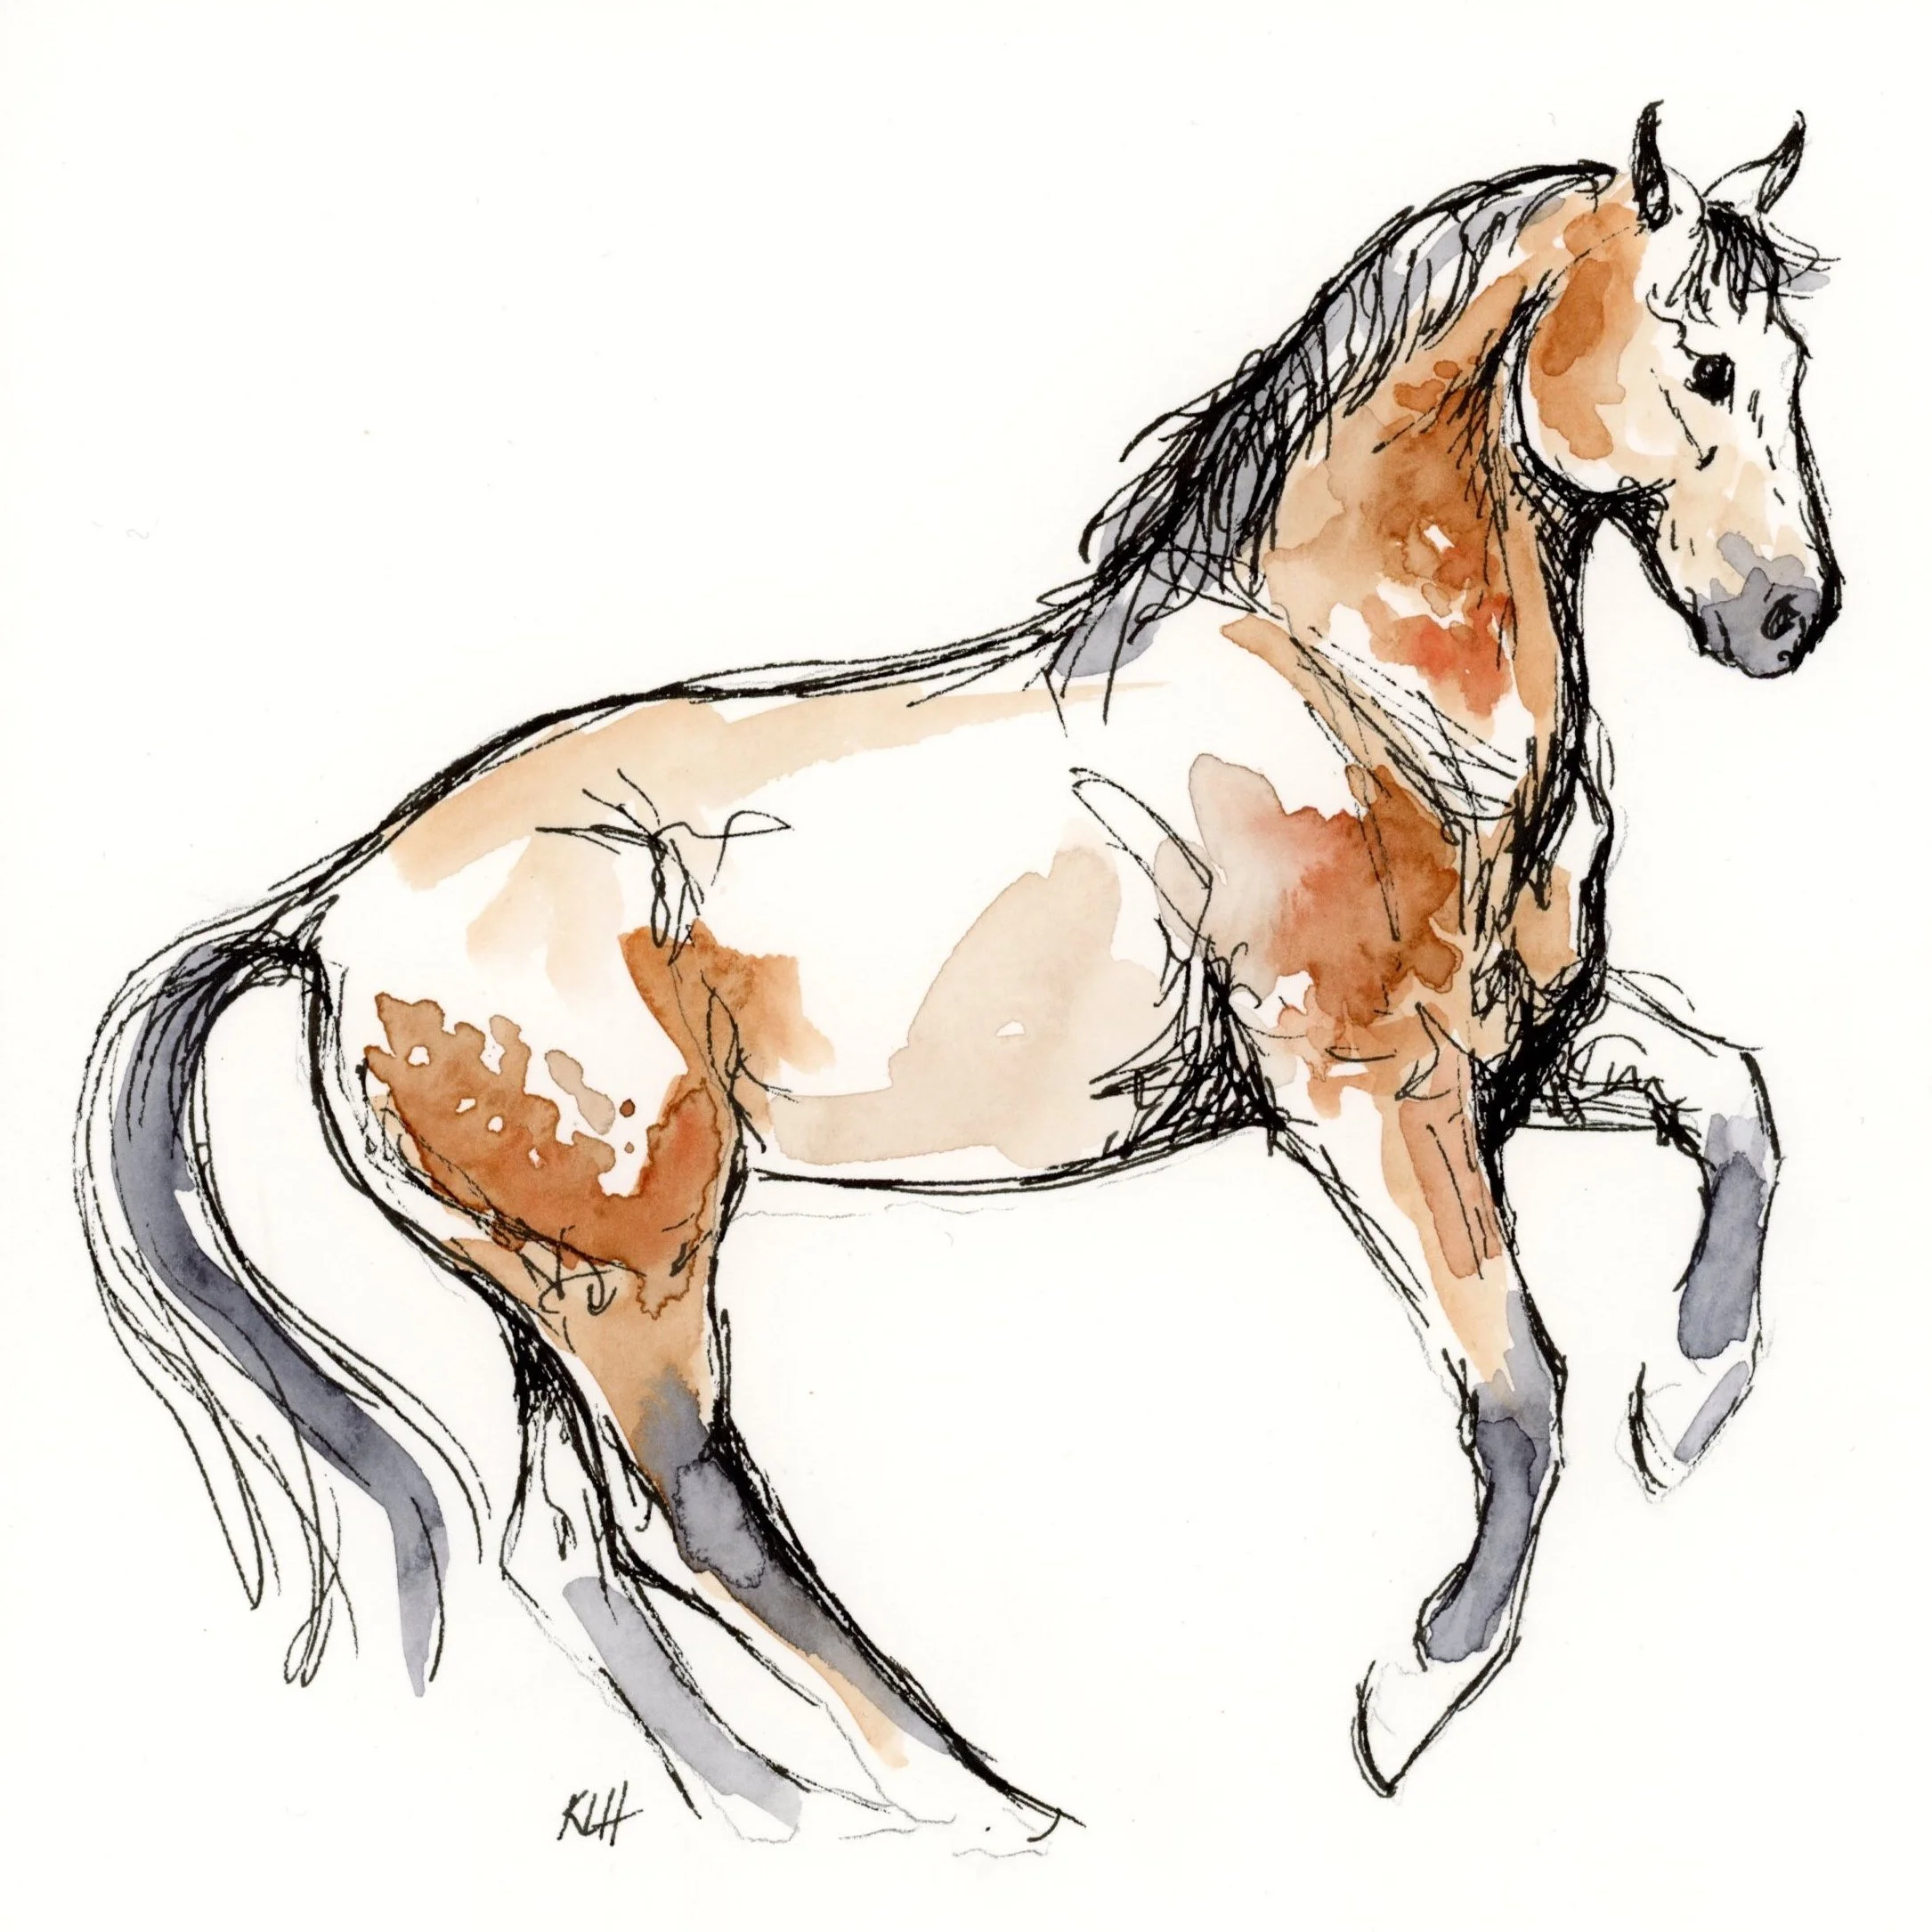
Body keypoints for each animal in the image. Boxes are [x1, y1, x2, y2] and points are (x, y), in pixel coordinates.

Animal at [78, 104, 1838, 1837]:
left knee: (563, 1553)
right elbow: (1517, 1385)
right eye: (1704, 364)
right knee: (691, 1518)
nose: (1789, 617)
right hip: (630, 1282)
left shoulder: (1521, 1052)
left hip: (534, 1292)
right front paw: (1409, 1701)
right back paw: (983, 1807)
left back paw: (785, 1819)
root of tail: (334, 905)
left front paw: (1685, 1408)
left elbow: (1734, 1104)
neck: (1356, 701)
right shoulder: (1365, 1090)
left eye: (1793, 362)